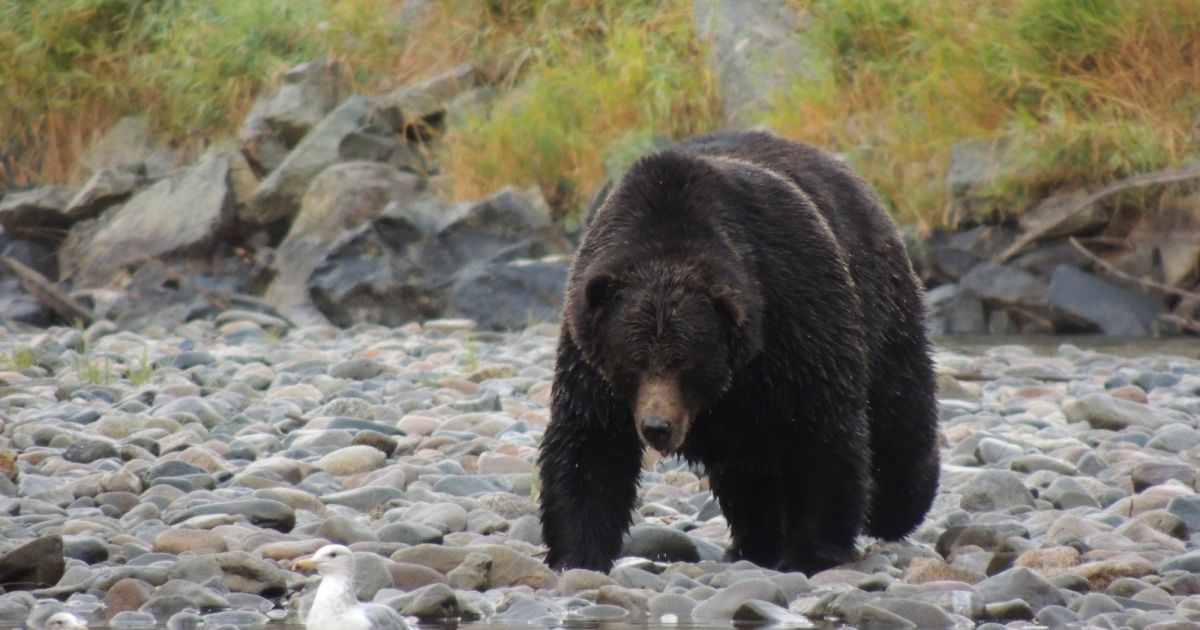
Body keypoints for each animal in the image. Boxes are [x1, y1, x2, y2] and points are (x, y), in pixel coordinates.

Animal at [537, 130, 940, 574]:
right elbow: (589, 445)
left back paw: (897, 507)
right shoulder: (590, 354)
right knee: (747, 476)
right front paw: (578, 555)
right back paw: (754, 542)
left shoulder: (796, 314)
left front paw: (812, 552)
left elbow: (819, 431)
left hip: (880, 305)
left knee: (898, 414)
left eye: (684, 361)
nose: (657, 426)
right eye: (634, 362)